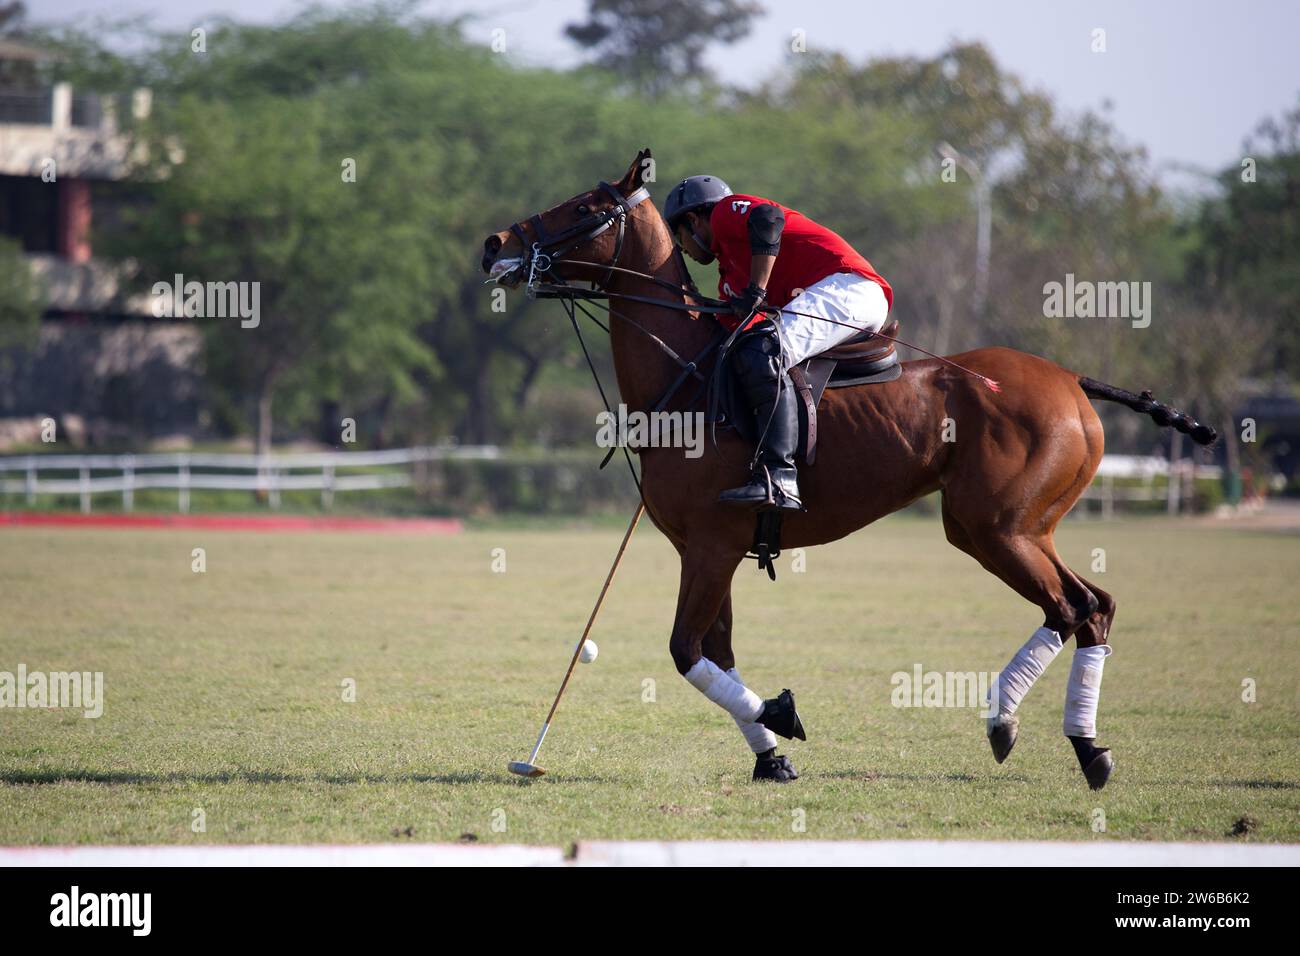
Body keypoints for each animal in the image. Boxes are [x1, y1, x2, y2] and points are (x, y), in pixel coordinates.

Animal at [481, 148, 1217, 787]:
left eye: (583, 205)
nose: (493, 244)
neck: (685, 375)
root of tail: (1071, 378)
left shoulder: (713, 545)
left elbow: (687, 651)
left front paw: (782, 717)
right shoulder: (708, 547)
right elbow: (716, 652)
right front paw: (771, 759)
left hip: (996, 525)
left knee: (1070, 605)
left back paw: (1012, 724)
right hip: (1021, 526)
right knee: (1094, 605)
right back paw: (1083, 745)